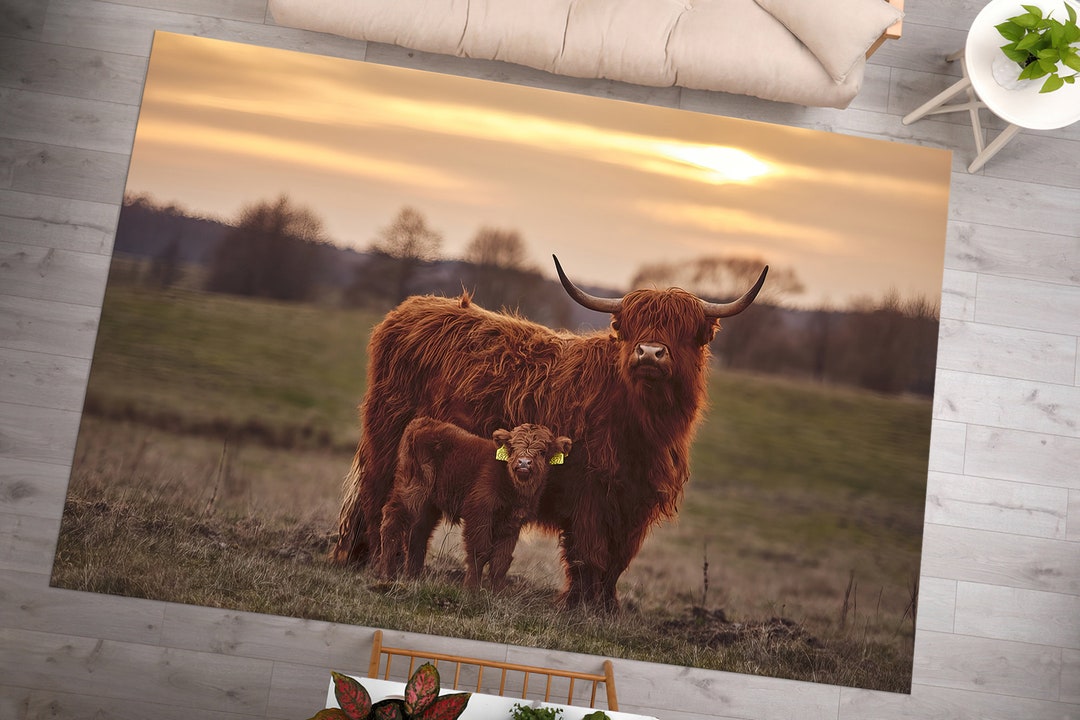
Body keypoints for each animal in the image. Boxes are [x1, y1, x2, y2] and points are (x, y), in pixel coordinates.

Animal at [378, 417, 572, 590]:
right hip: (412, 490)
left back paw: (413, 577)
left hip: (428, 504)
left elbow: (501, 559)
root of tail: (421, 422)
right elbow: (480, 552)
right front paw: (471, 590)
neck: (512, 486)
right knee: (392, 521)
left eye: (543, 451)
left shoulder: (513, 522)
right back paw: (388, 576)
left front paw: (497, 593)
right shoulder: (480, 513)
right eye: (513, 448)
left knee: (418, 533)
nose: (524, 462)